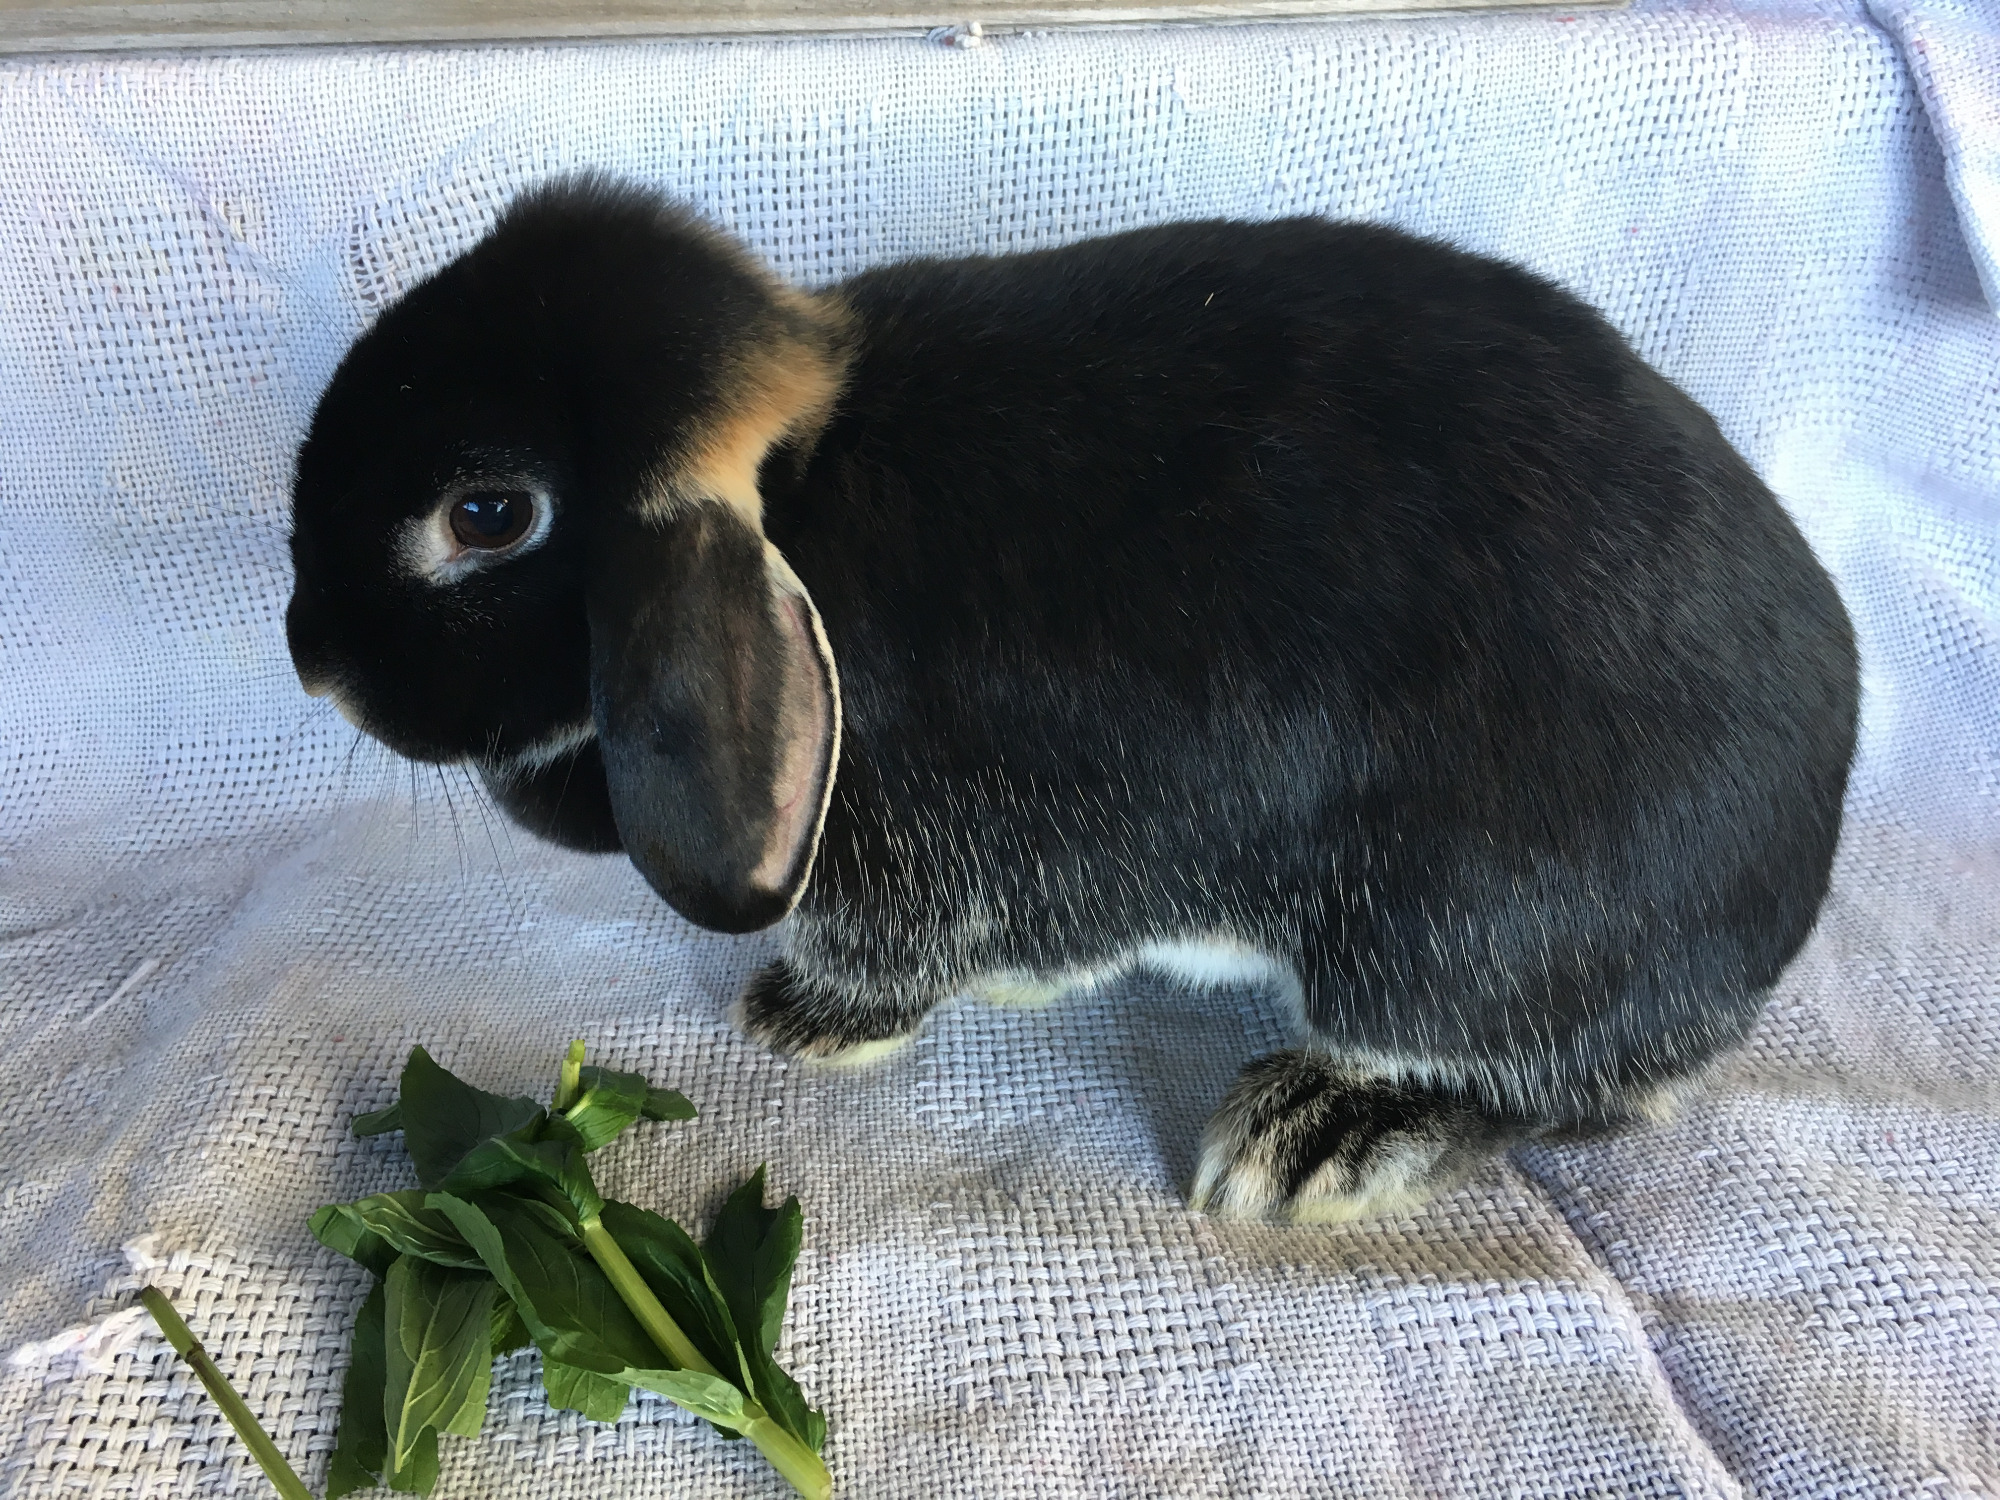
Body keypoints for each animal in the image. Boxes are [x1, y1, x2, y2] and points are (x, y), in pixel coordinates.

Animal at [287, 175, 1859, 1223]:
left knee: (1565, 1090)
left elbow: (901, 956)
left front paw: (802, 1022)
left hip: (1448, 934)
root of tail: (1784, 902)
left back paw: (1314, 1132)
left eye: (487, 514)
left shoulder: (923, 865)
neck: (799, 504)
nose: (313, 662)